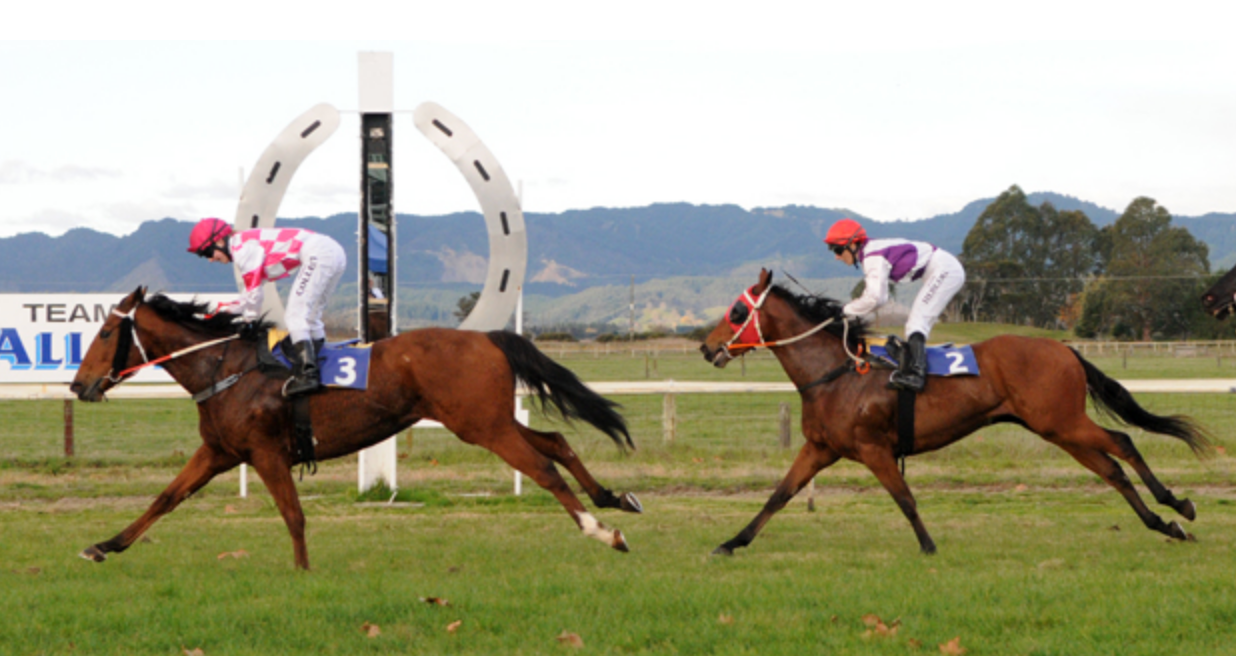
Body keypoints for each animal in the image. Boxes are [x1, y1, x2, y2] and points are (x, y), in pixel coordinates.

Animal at [69, 287, 642, 570]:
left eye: (105, 332)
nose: (79, 384)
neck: (224, 368)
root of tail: (486, 338)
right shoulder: (219, 452)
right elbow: (165, 498)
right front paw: (103, 545)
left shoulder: (266, 453)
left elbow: (293, 515)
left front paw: (303, 573)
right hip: (488, 420)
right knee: (557, 443)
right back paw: (616, 498)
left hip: (482, 425)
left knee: (543, 467)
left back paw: (602, 530)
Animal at [698, 269, 1210, 556]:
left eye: (737, 310)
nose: (706, 348)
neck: (836, 372)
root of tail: (1063, 348)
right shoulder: (821, 448)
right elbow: (778, 496)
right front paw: (732, 542)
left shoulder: (873, 448)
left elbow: (904, 498)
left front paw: (928, 546)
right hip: (1059, 430)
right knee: (1111, 469)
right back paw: (1164, 524)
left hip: (1062, 421)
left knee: (1123, 443)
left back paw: (1178, 505)